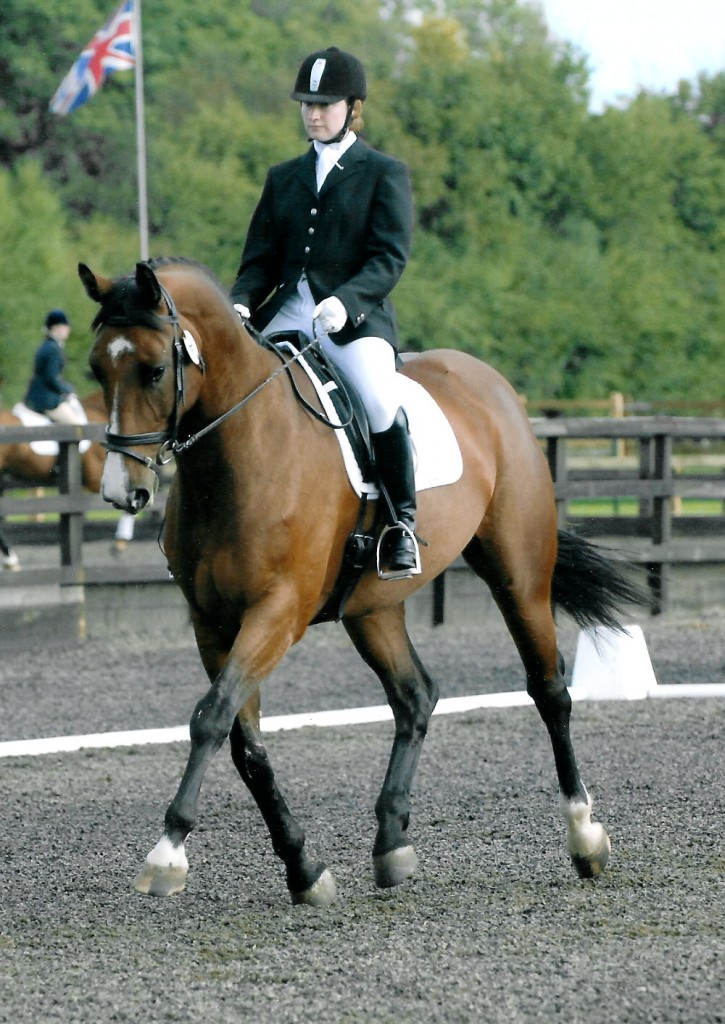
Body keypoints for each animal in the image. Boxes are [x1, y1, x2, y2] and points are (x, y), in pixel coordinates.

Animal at [79, 257, 643, 906]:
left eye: (153, 370)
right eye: (96, 368)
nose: (121, 492)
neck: (241, 453)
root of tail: (490, 383)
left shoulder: (277, 612)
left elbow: (211, 718)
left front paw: (168, 853)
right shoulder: (211, 622)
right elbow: (246, 747)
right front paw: (304, 869)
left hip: (518, 572)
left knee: (549, 690)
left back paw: (586, 838)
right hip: (373, 607)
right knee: (415, 695)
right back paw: (392, 845)